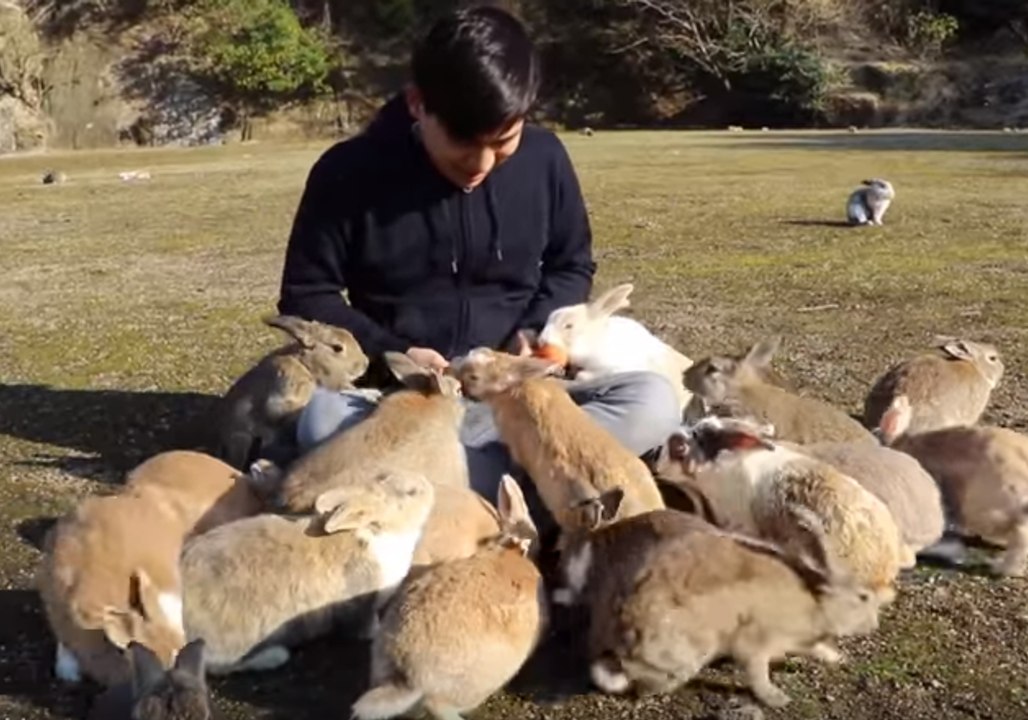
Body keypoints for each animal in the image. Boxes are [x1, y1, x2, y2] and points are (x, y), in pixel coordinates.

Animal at [180, 469, 435, 674]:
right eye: (411, 492)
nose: (430, 486)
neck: (377, 530)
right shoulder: (361, 606)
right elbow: (365, 628)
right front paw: (378, 631)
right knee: (219, 666)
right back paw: (274, 657)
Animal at [553, 488, 881, 707]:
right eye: (863, 597)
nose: (874, 624)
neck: (814, 599)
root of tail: (619, 650)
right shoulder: (756, 642)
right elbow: (757, 672)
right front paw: (777, 699)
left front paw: (835, 657)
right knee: (646, 686)